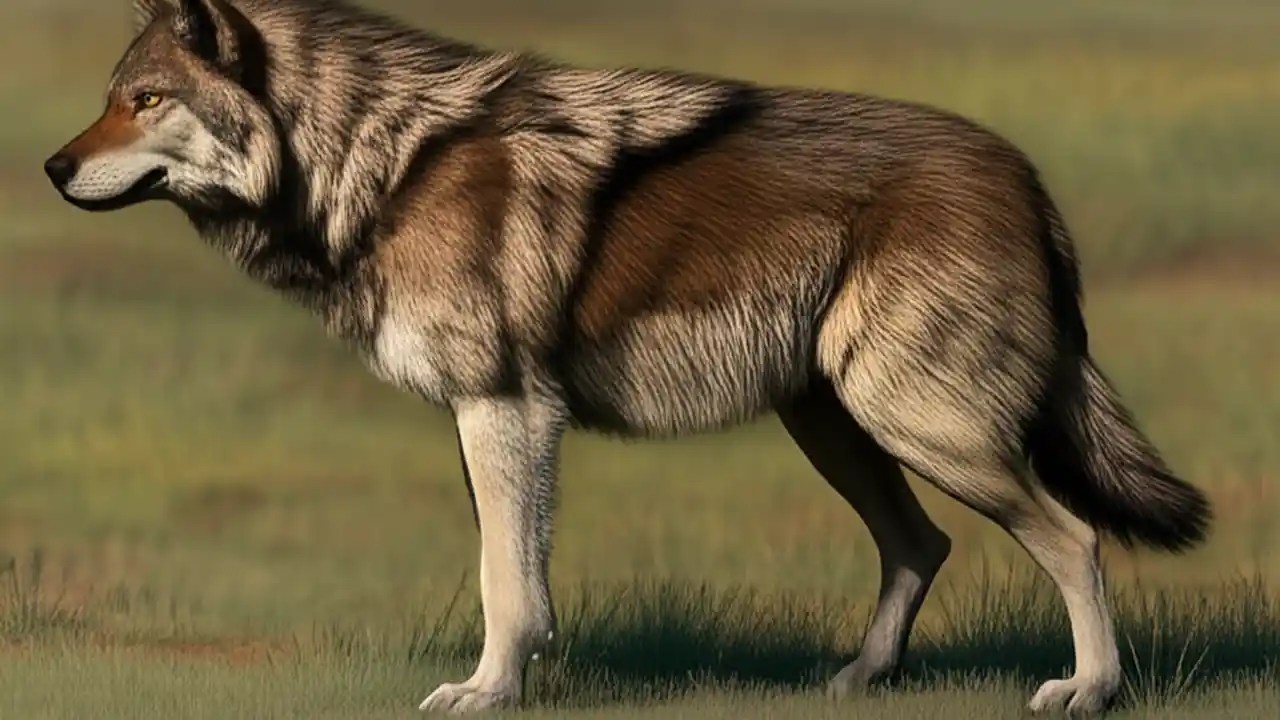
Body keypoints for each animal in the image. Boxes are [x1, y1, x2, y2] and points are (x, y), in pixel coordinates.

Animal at [45, 0, 1211, 714]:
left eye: (145, 100)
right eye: (111, 95)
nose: (52, 168)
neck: (386, 166)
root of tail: (1026, 178)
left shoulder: (505, 409)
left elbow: (504, 584)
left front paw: (483, 694)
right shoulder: (488, 422)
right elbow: (515, 572)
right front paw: (512, 684)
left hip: (921, 427)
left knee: (1074, 540)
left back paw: (1089, 691)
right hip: (840, 429)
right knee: (921, 546)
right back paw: (856, 680)